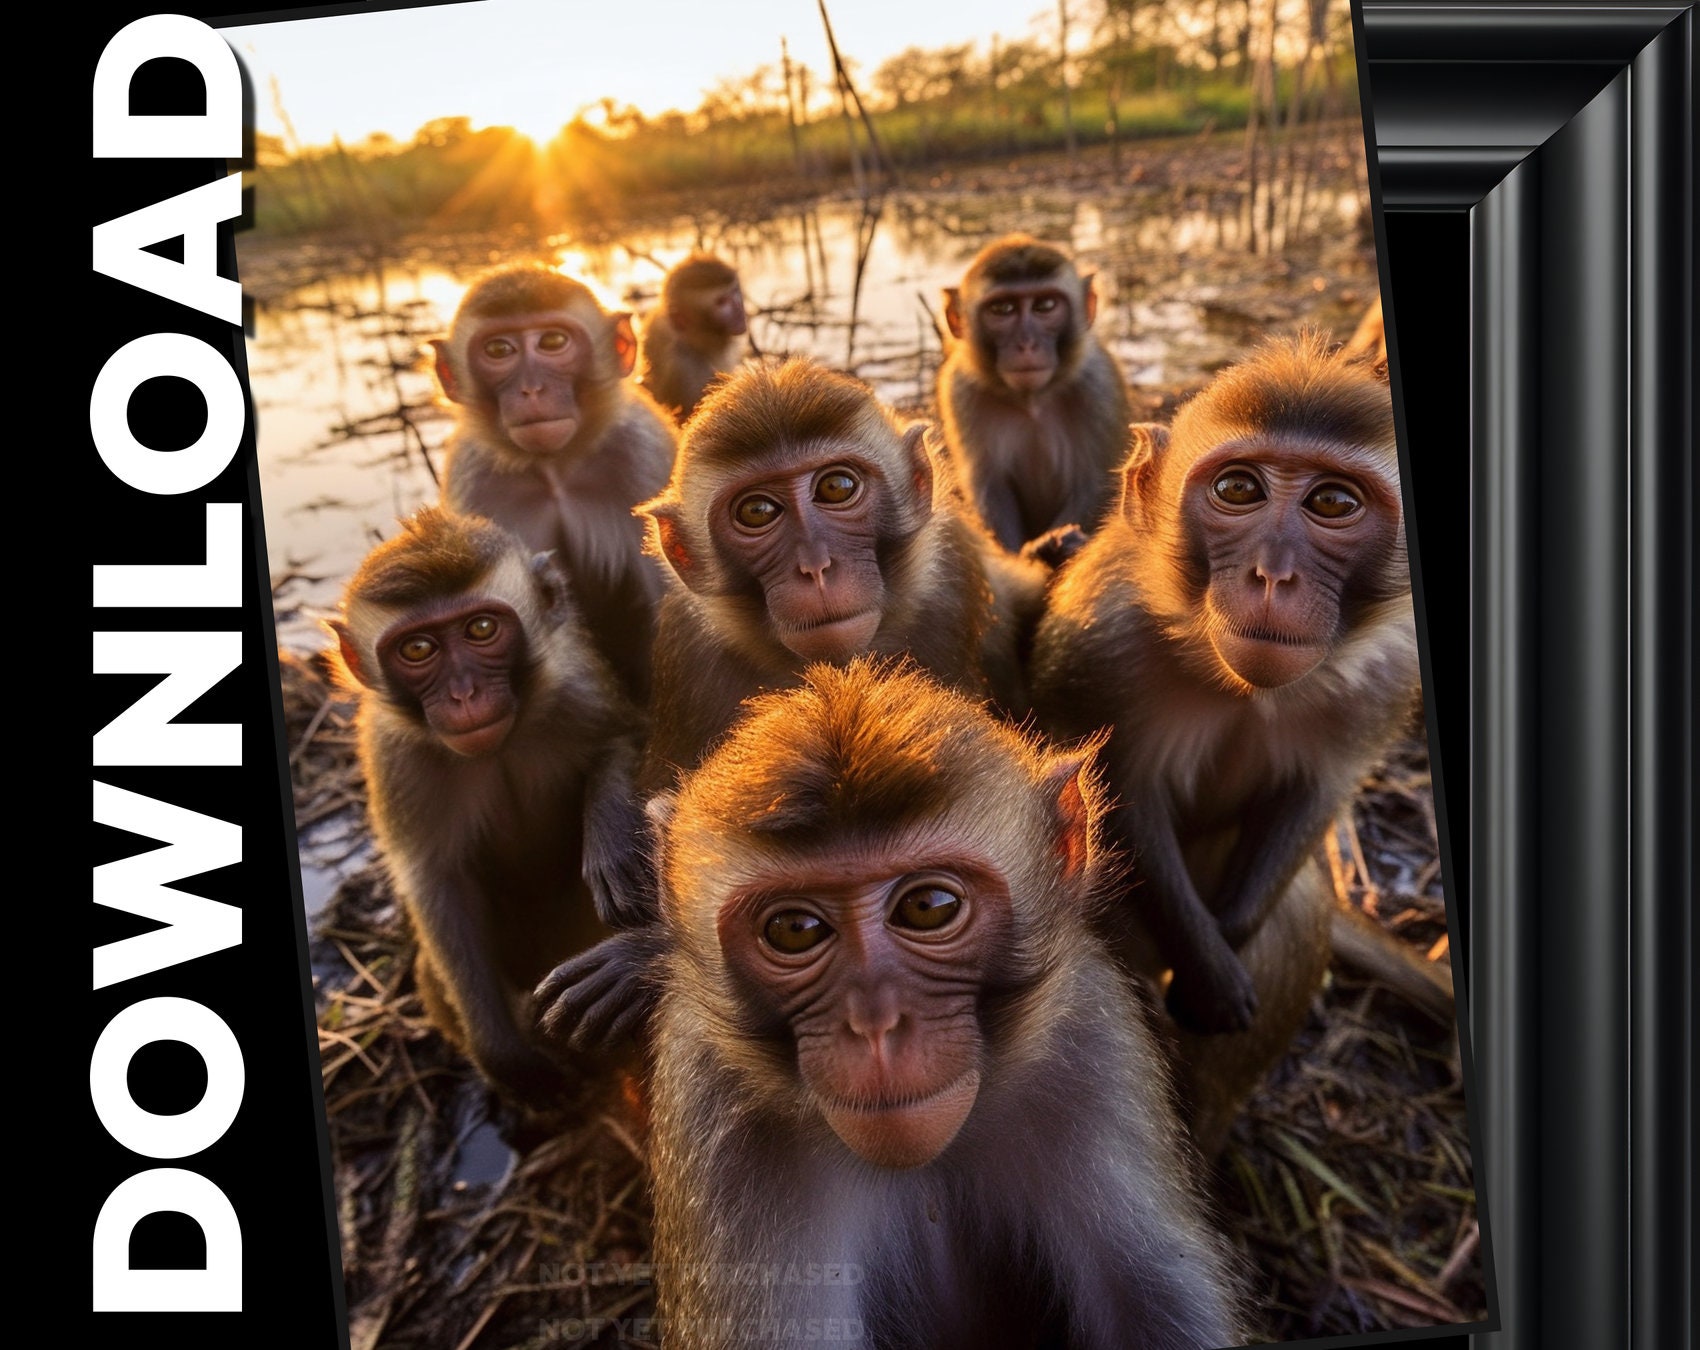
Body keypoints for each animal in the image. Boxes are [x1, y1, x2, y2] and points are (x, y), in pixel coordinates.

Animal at [326, 507, 652, 1107]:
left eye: (481, 629)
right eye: (417, 649)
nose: (464, 695)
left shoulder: (574, 682)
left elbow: (622, 737)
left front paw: (609, 836)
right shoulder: (395, 757)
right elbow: (436, 883)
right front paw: (505, 1055)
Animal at [430, 261, 678, 703]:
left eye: (552, 342)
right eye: (499, 350)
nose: (532, 389)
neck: (555, 470)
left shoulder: (643, 457)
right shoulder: (477, 482)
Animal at [936, 233, 1134, 553]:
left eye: (1045, 305)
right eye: (1002, 309)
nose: (1027, 344)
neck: (1032, 401)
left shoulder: (1098, 386)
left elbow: (1096, 485)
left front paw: (1055, 545)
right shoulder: (960, 389)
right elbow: (991, 489)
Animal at [1029, 332, 1427, 1156]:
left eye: (1333, 503)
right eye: (1238, 490)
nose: (1273, 574)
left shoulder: (1390, 669)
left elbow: (1318, 792)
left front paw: (1225, 953)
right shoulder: (1101, 636)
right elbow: (1118, 794)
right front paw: (1206, 966)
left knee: (1295, 911)